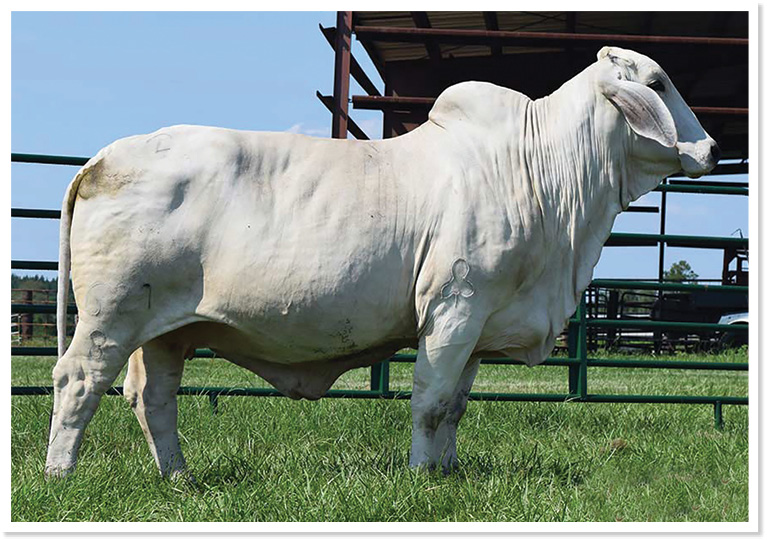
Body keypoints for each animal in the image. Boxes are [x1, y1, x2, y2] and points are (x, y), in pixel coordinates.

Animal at [45, 47, 719, 478]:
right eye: (658, 83)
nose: (712, 149)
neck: (547, 177)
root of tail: (101, 159)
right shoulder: (453, 309)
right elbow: (430, 401)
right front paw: (422, 476)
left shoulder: (481, 329)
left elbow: (456, 406)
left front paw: (447, 472)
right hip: (110, 316)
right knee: (79, 381)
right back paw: (61, 477)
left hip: (166, 330)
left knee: (154, 398)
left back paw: (178, 478)